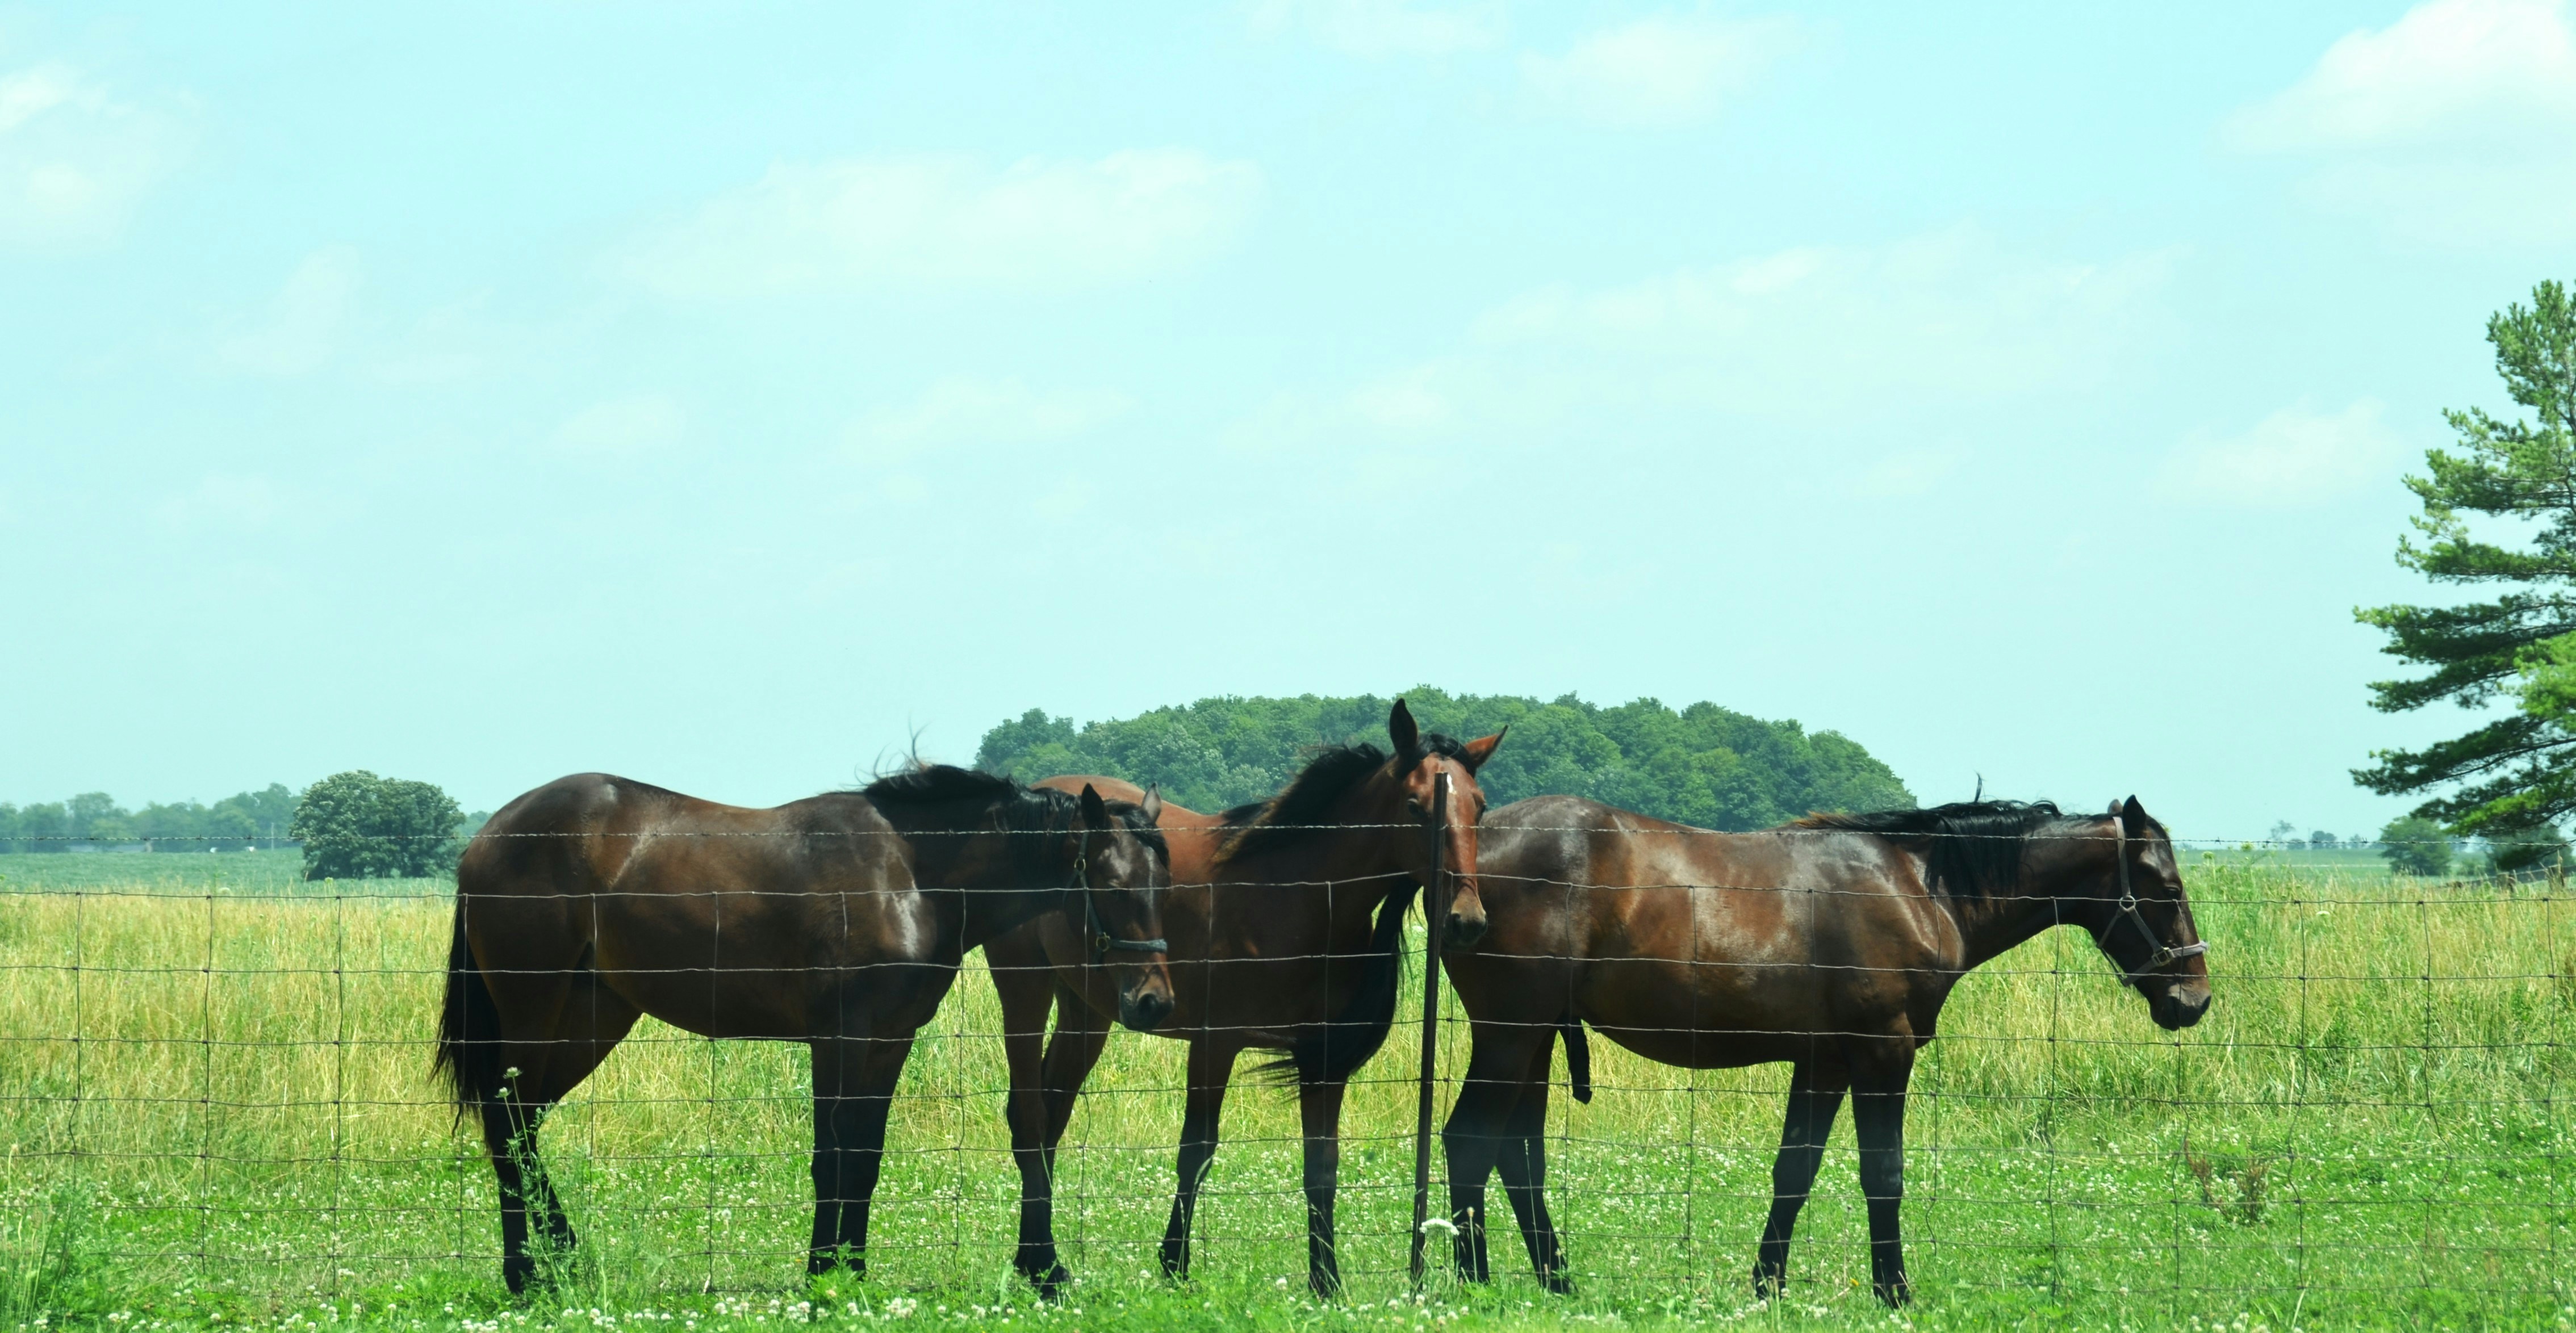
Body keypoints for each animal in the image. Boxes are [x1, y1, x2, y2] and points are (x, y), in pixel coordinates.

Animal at [434, 767, 1174, 1292]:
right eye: (1111, 886)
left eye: (1164, 886)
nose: (1153, 1001)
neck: (909, 875)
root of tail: (488, 836)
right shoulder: (838, 1039)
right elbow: (832, 1157)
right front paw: (823, 1268)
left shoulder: (891, 1040)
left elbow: (865, 1158)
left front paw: (854, 1265)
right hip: (534, 1011)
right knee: (507, 1123)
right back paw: (525, 1273)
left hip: (594, 1015)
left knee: (525, 1124)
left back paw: (562, 1257)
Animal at [983, 699, 1503, 1297]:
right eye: (1416, 806)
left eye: (1480, 806)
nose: (1466, 920)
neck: (1294, 897)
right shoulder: (1215, 1044)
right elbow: (1195, 1153)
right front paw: (1175, 1266)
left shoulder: (1323, 1060)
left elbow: (1321, 1168)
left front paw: (1326, 1282)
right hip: (1025, 987)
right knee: (1028, 1118)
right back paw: (1041, 1265)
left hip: (1088, 1009)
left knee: (1054, 1115)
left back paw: (1038, 1261)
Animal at [1438, 796, 2211, 1306]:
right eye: (2168, 887)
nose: (2194, 999)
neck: (1919, 887)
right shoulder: (1881, 1052)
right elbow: (1883, 1174)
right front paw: (1895, 1290)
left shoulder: (1824, 1061)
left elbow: (1795, 1172)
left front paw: (1767, 1284)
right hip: (1510, 1033)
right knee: (1470, 1139)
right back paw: (1473, 1279)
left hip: (1534, 1037)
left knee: (1517, 1155)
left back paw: (1556, 1278)